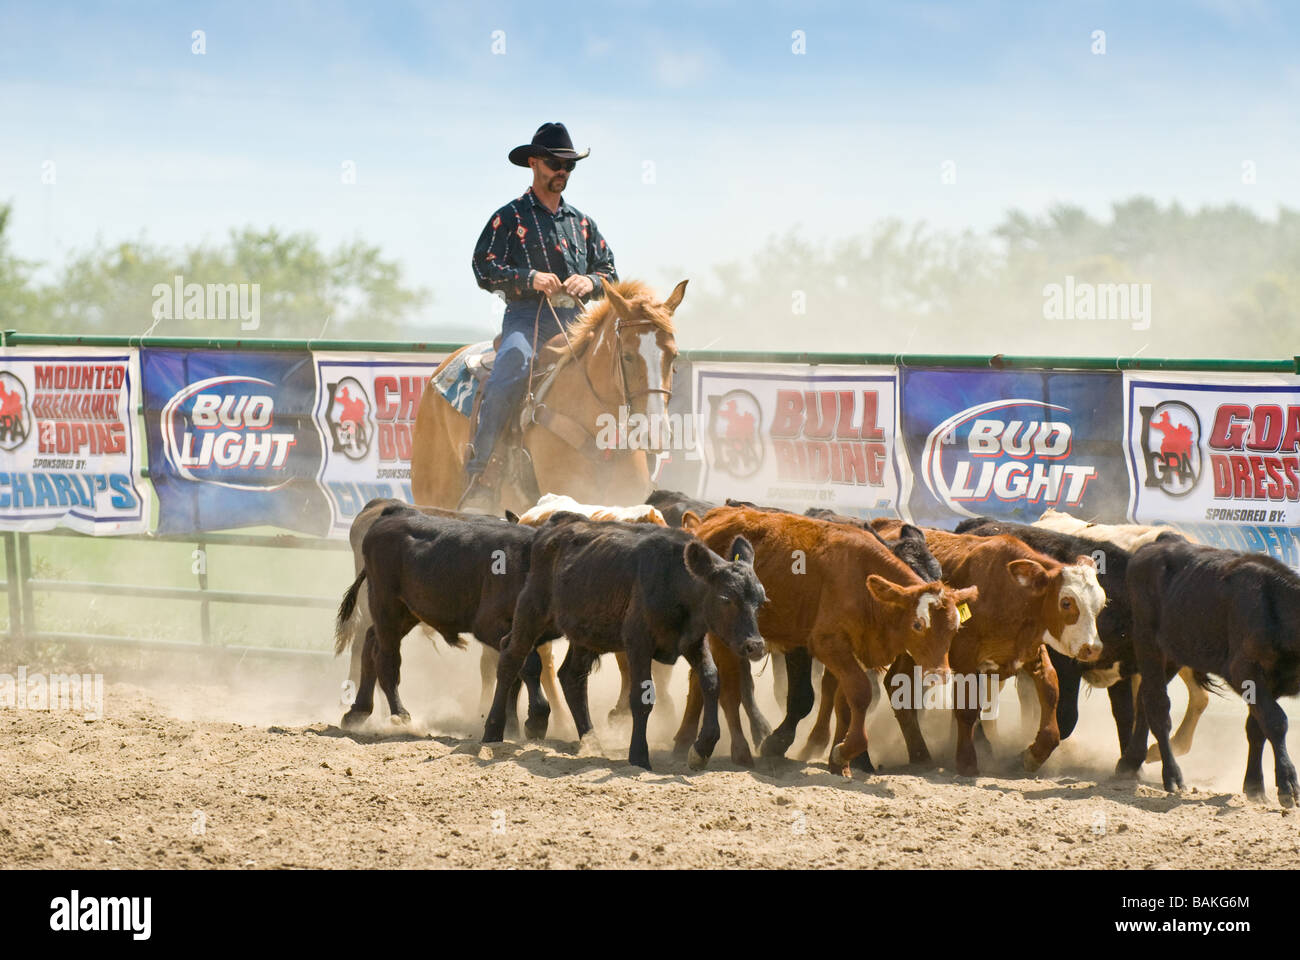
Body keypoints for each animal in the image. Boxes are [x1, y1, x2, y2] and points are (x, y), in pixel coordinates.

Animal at [342, 498, 565, 734]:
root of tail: (391, 510)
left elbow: (517, 674)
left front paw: (513, 724)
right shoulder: (490, 626)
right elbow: (528, 665)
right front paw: (536, 718)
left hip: (407, 612)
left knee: (370, 643)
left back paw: (358, 711)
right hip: (386, 606)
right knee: (385, 658)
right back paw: (399, 716)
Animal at [483, 518, 767, 771]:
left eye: (761, 601)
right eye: (726, 598)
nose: (755, 645)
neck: (675, 580)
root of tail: (547, 531)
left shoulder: (693, 642)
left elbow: (710, 680)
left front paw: (702, 748)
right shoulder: (638, 643)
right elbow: (641, 698)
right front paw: (639, 756)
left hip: (584, 633)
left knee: (571, 677)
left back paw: (592, 742)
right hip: (532, 611)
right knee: (511, 656)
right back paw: (493, 732)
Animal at [674, 507, 976, 776]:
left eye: (955, 628)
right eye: (917, 624)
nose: (940, 675)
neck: (861, 580)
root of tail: (710, 521)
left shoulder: (853, 651)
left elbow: (845, 702)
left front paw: (842, 760)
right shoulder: (825, 644)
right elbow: (849, 694)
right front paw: (797, 746)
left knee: (701, 680)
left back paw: (685, 741)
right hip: (723, 636)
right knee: (730, 692)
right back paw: (735, 751)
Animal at [873, 519, 1105, 776]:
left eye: (1101, 604)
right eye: (1066, 602)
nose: (1092, 648)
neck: (1008, 591)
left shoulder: (1030, 652)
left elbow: (1051, 690)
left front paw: (1033, 755)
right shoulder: (964, 658)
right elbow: (967, 709)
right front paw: (967, 762)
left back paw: (921, 755)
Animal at [1116, 537, 1300, 805]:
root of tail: (1158, 544)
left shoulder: (1273, 682)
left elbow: (1257, 727)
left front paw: (1255, 786)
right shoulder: (1244, 670)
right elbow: (1276, 722)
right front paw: (1287, 785)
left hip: (1173, 653)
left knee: (1143, 700)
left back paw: (1130, 762)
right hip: (1147, 642)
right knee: (1158, 707)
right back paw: (1172, 776)